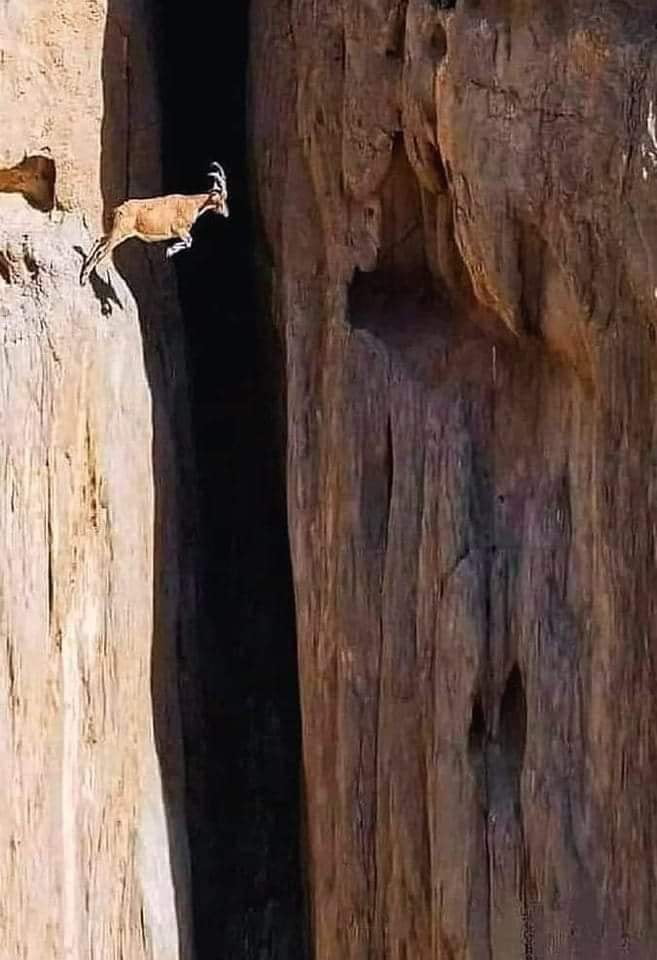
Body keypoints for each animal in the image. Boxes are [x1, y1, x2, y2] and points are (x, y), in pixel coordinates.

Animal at [80, 163, 229, 285]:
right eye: (222, 197)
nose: (226, 213)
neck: (192, 204)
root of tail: (119, 209)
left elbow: (189, 242)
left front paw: (169, 251)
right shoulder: (179, 229)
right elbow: (189, 241)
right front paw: (169, 251)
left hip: (118, 233)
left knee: (99, 240)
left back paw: (85, 267)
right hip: (119, 233)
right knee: (102, 251)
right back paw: (84, 279)